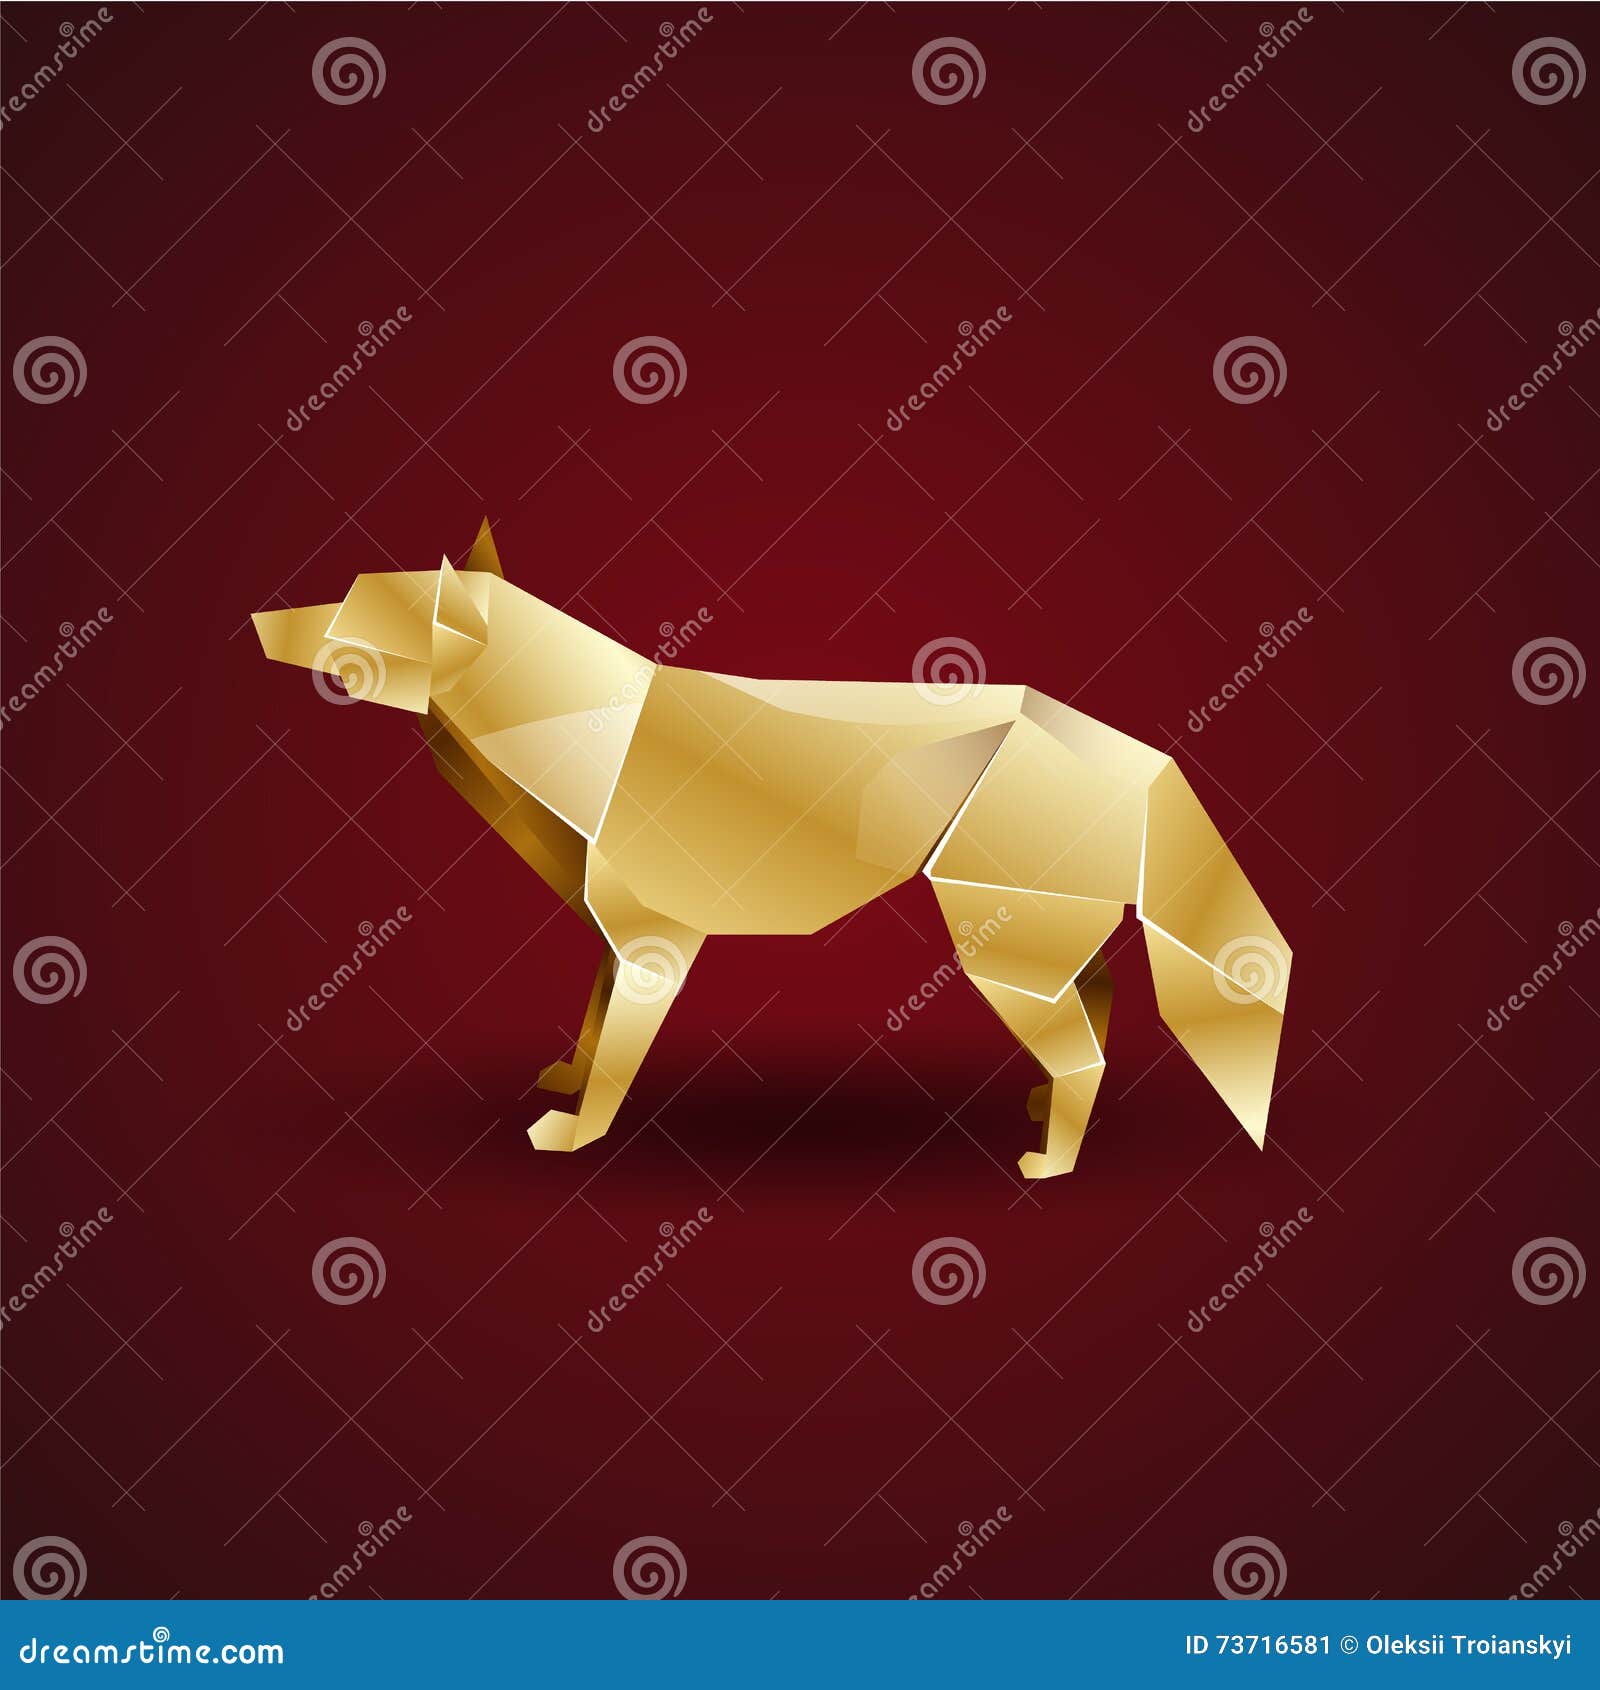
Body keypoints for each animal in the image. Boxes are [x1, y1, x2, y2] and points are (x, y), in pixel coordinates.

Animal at [254, 521, 1291, 1179]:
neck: (576, 725)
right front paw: (566, 1083)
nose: (262, 620)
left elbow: (616, 1064)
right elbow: (589, 1031)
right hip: (1033, 941)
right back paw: (1041, 1112)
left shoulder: (656, 949)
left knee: (1087, 1055)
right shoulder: (615, 944)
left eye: (345, 610)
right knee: (1103, 1007)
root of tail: (1132, 752)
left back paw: (1051, 1163)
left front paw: (576, 1136)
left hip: (1000, 953)